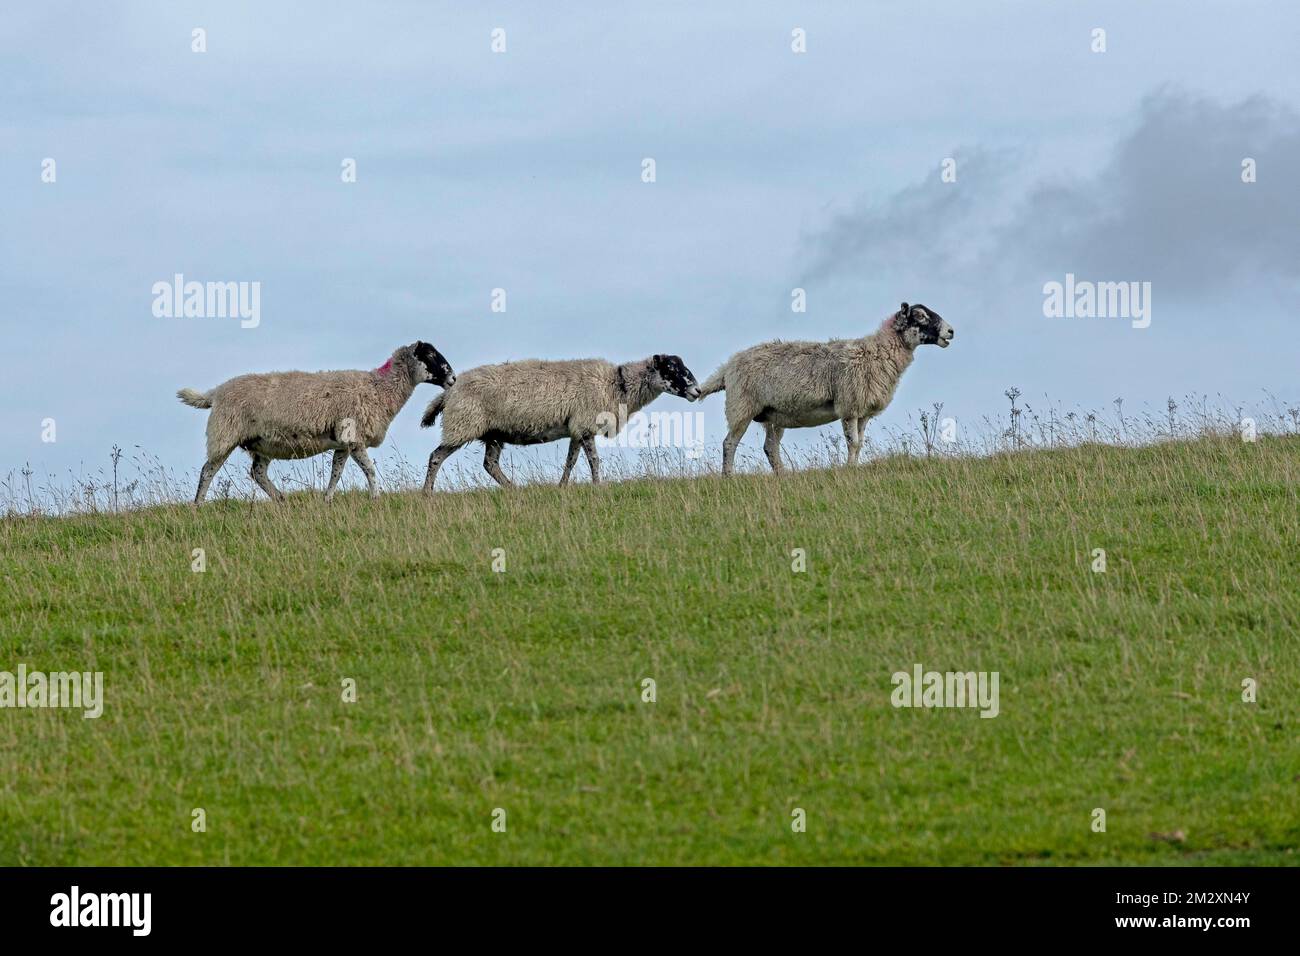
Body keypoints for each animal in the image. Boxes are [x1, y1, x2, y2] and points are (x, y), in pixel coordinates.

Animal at [178, 341, 455, 504]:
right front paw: (376, 497)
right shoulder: (354, 436)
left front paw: (327, 499)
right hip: (224, 434)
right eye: (430, 354)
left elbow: (336, 471)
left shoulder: (344, 442)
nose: (452, 378)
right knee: (208, 470)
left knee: (257, 473)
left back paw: (281, 500)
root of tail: (215, 393)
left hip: (262, 443)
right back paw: (198, 505)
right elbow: (369, 469)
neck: (379, 387)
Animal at [419, 354, 701, 492]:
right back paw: (427, 493)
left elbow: (571, 460)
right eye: (670, 369)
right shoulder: (586, 425)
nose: (696, 391)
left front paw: (562, 486)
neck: (618, 384)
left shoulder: (577, 429)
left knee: (490, 465)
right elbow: (594, 460)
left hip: (493, 433)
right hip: (462, 425)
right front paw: (598, 486)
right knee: (435, 456)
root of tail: (449, 392)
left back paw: (514, 489)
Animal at [696, 302, 954, 475]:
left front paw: (854, 467)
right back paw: (728, 477)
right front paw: (849, 470)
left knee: (770, 447)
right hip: (741, 406)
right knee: (730, 443)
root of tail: (728, 366)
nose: (951, 331)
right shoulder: (849, 407)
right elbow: (853, 442)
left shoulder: (863, 413)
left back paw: (783, 476)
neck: (876, 352)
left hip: (773, 414)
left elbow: (860, 443)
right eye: (920, 316)